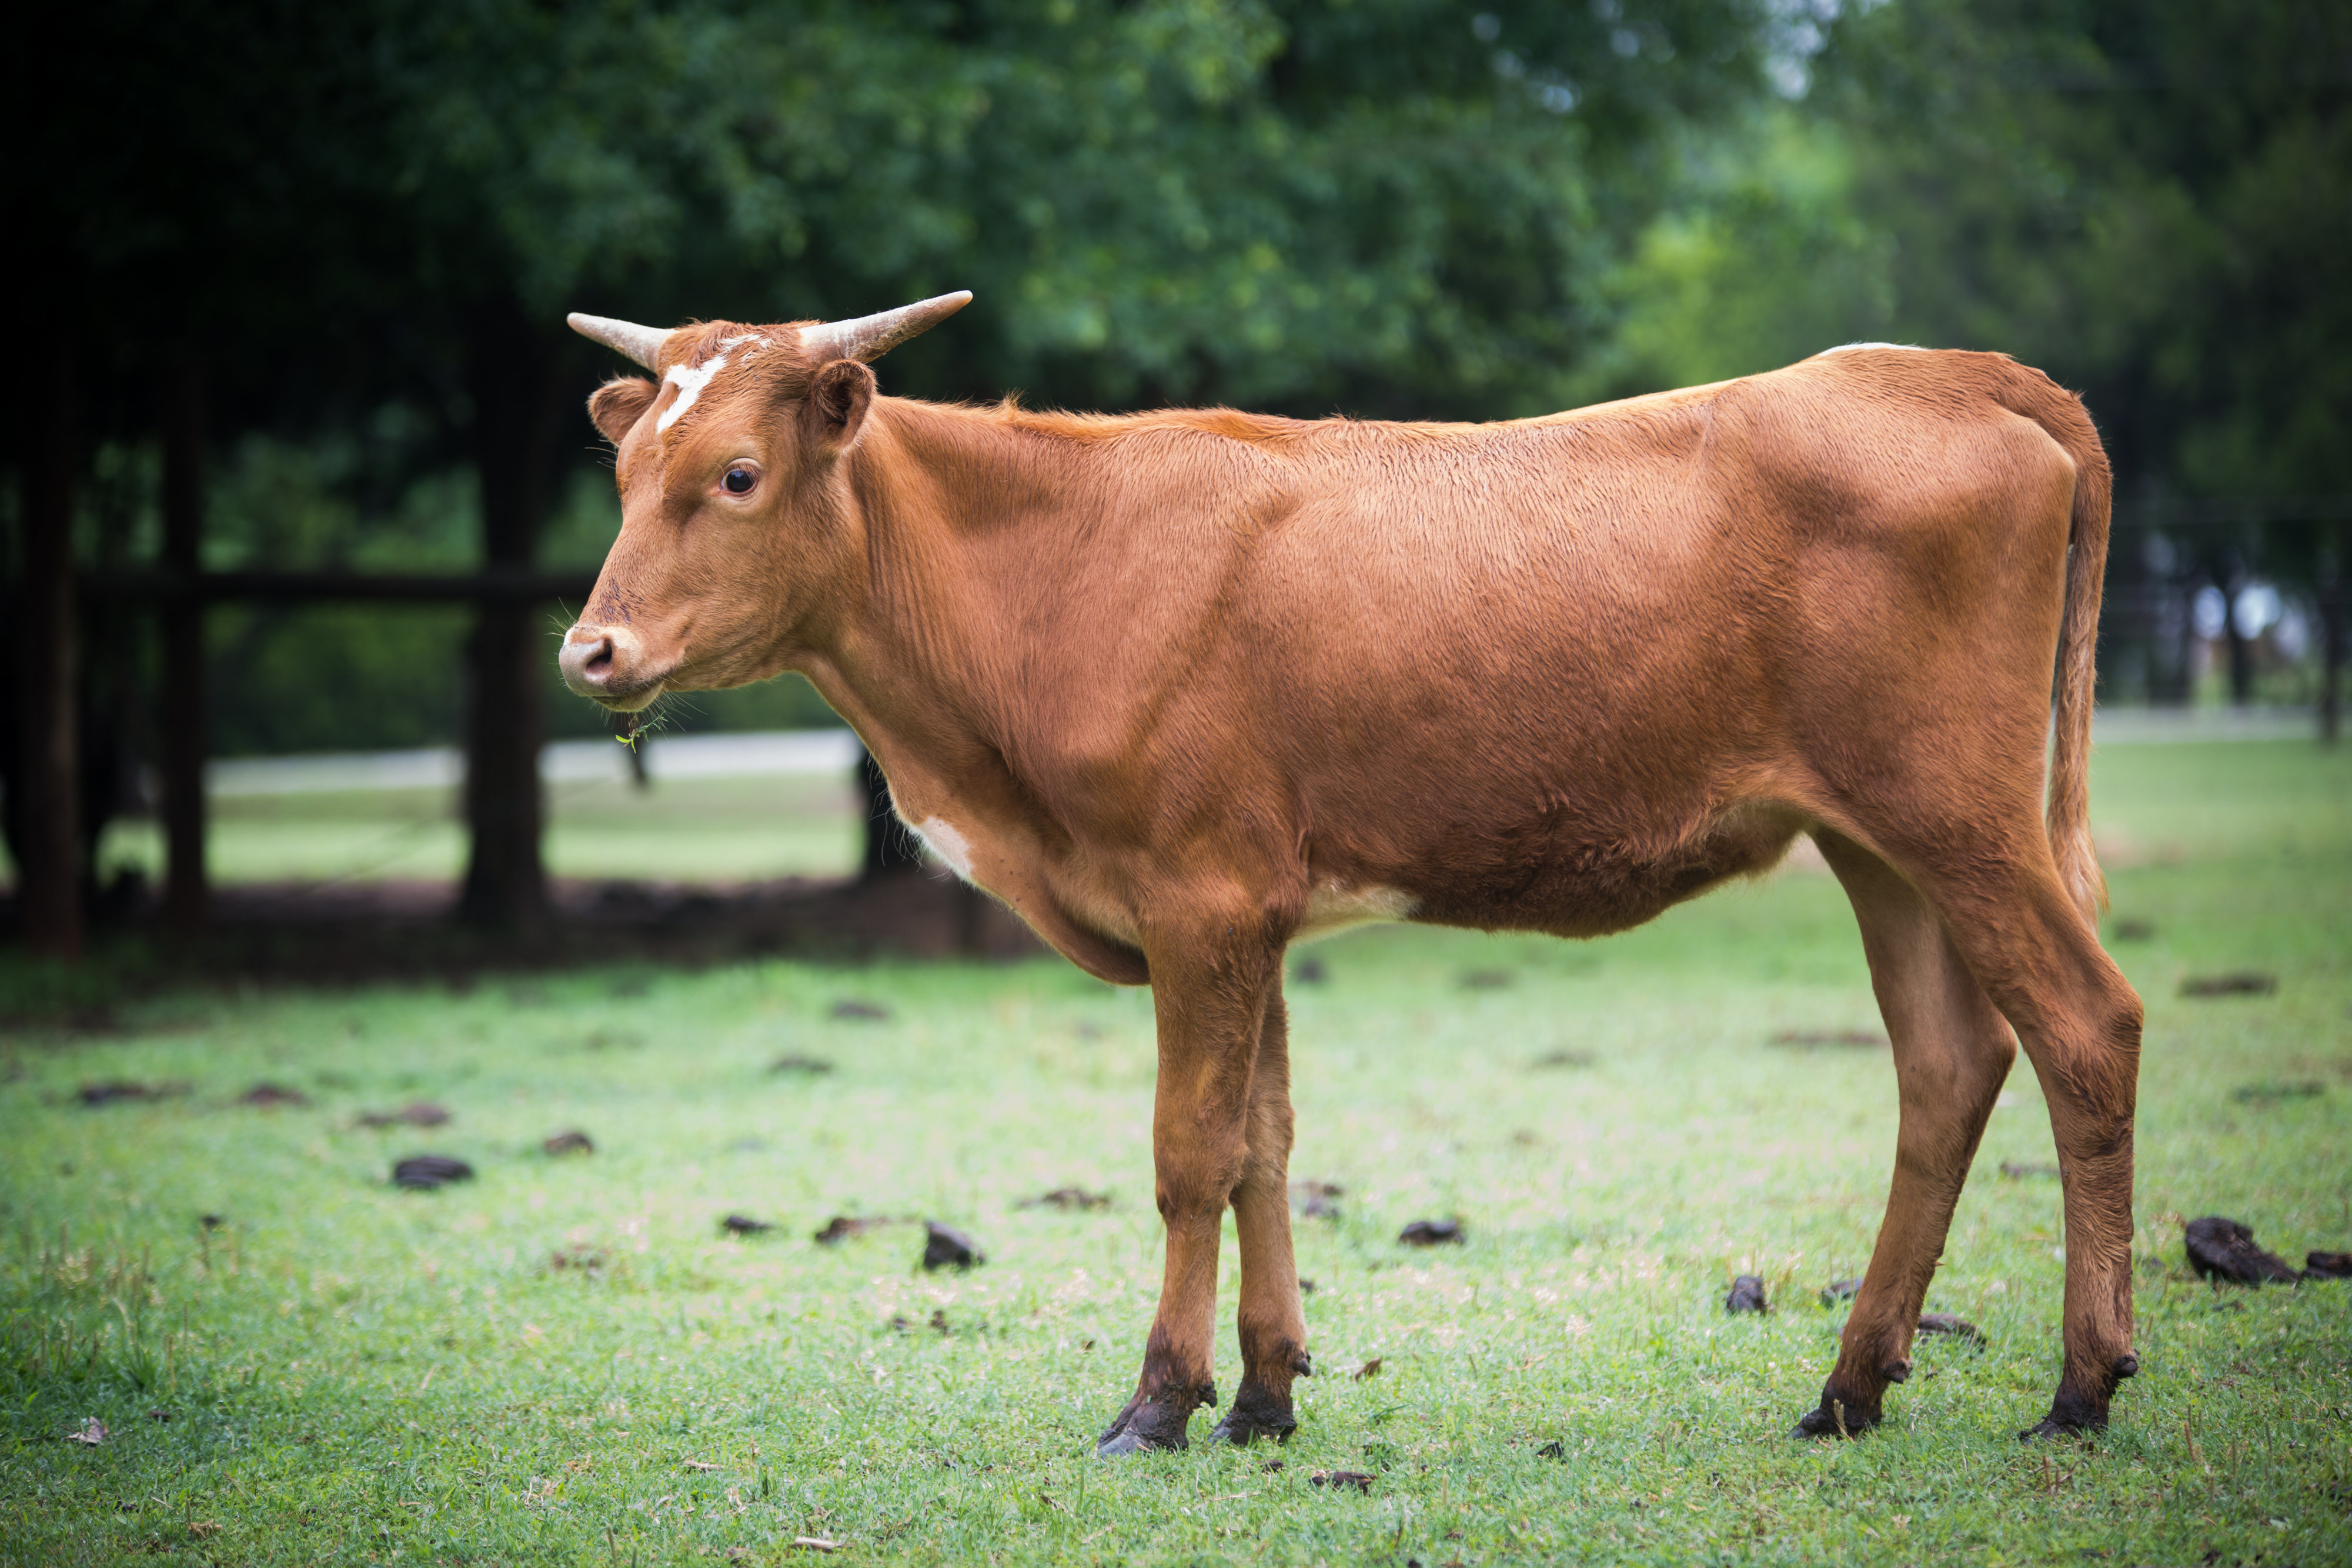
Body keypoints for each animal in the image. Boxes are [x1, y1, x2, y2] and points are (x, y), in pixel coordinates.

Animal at [558, 293, 2143, 1453]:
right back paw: (1850, 1383)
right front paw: (1263, 1393)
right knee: (1945, 1066)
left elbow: (1188, 1152)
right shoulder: (1251, 910)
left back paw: (2078, 1385)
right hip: (1879, 845)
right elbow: (1264, 1140)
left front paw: (1157, 1400)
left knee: (2082, 1028)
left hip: (1958, 819)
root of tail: (1946, 372)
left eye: (736, 476)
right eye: (626, 476)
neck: (1050, 572)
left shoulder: (1197, 902)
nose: (590, 650)